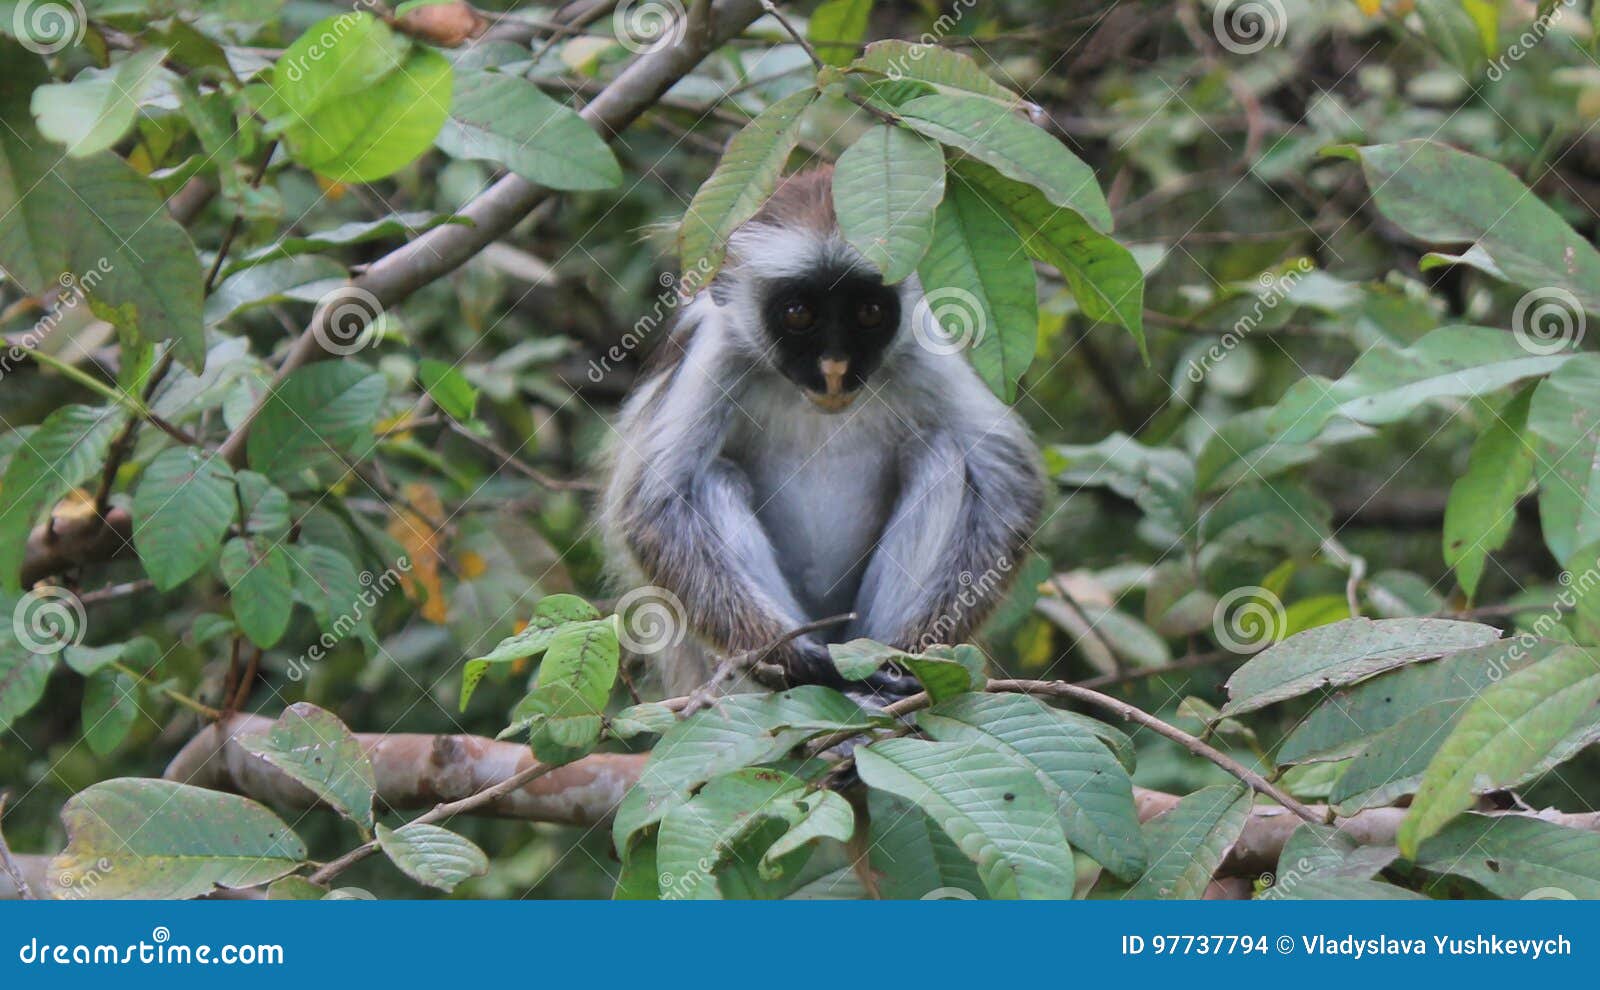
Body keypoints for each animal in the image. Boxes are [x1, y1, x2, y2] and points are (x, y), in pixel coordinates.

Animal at [602, 167, 1044, 700]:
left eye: (869, 312)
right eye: (799, 314)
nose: (835, 369)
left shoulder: (921, 347)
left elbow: (1012, 488)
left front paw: (907, 662)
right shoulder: (718, 350)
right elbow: (652, 510)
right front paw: (806, 665)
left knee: (940, 451)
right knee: (711, 478)